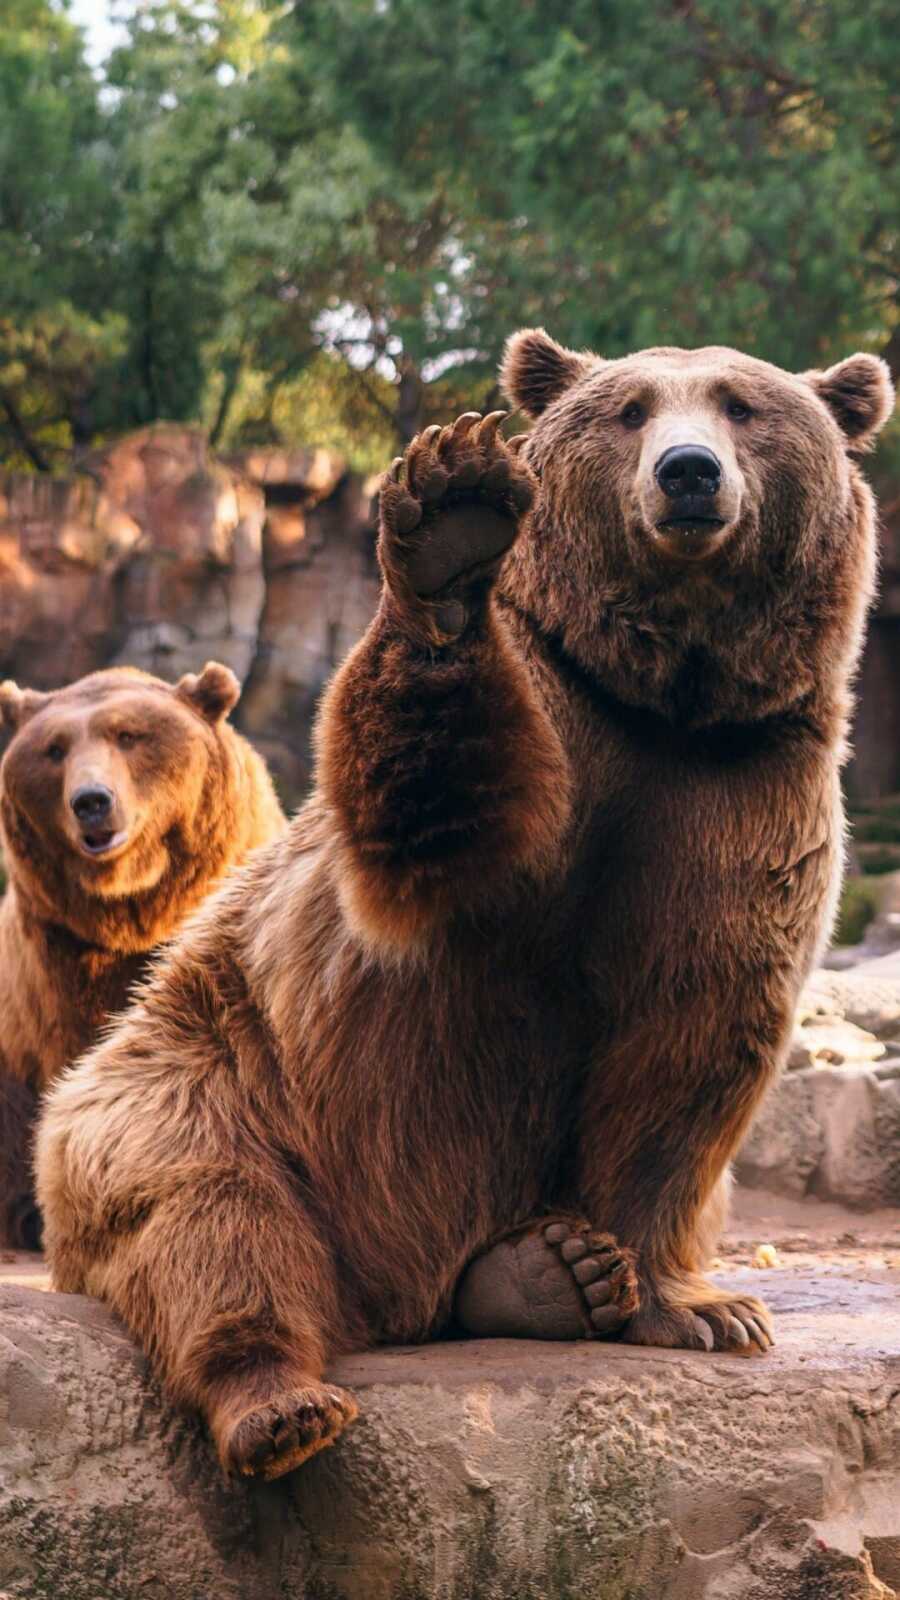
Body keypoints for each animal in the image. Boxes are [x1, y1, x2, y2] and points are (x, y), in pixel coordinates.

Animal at [35, 333, 893, 1482]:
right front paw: (453, 518)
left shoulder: (740, 790)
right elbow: (431, 820)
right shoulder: (551, 732)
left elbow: (688, 1049)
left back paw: (550, 1274)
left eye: (744, 406)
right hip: (196, 1084)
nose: (688, 473)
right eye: (630, 408)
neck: (665, 700)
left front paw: (703, 1308)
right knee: (210, 1218)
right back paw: (283, 1404)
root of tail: (388, 1299)